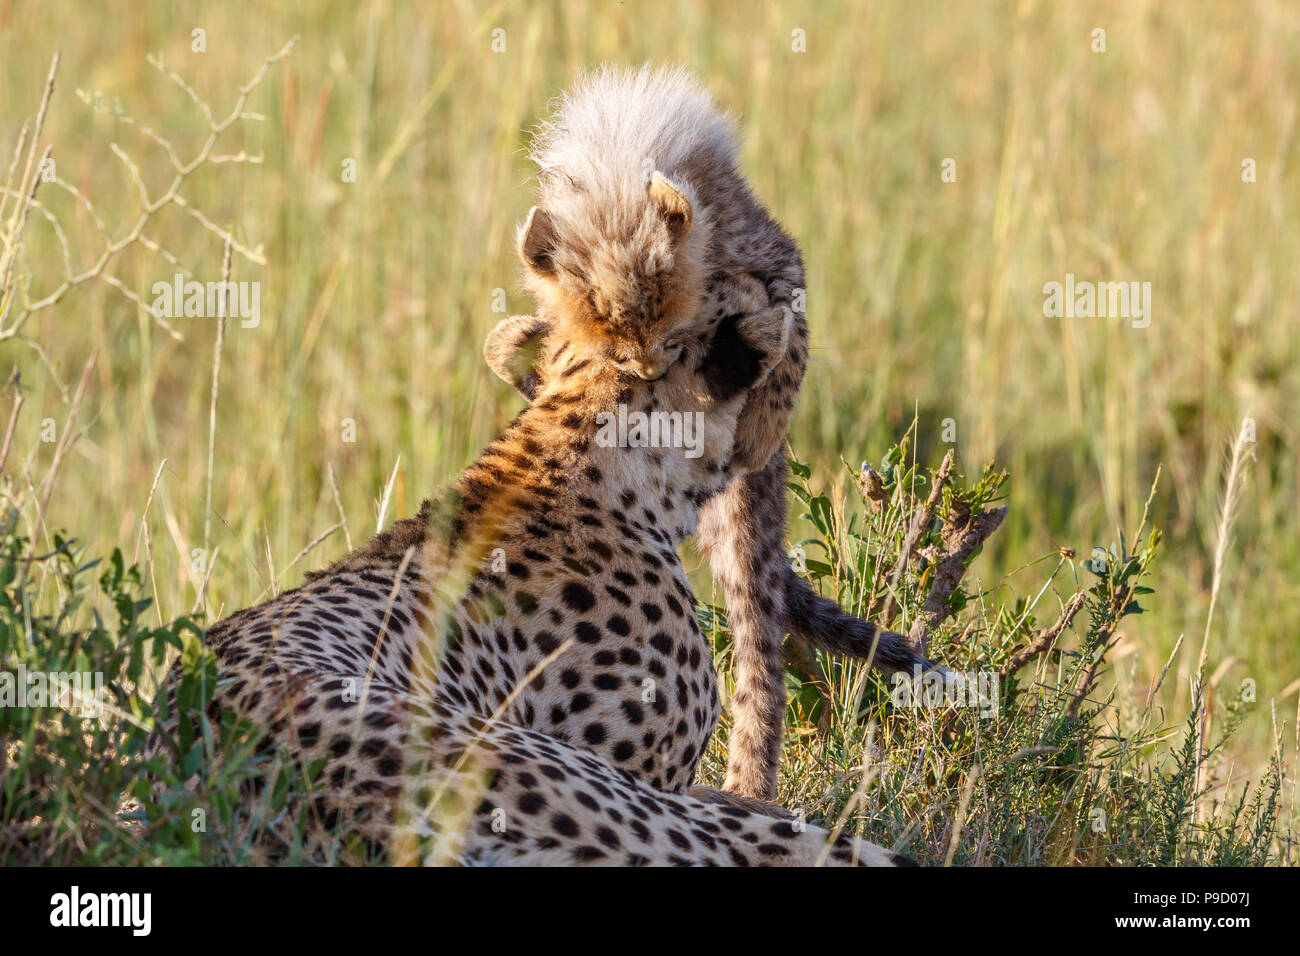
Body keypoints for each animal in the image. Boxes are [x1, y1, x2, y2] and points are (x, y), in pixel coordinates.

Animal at [498, 64, 939, 802]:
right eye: (614, 343)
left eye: (668, 332)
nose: (648, 370)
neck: (618, 176)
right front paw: (516, 353)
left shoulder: (771, 261)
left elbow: (791, 337)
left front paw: (760, 425)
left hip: (748, 525)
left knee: (759, 645)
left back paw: (750, 782)